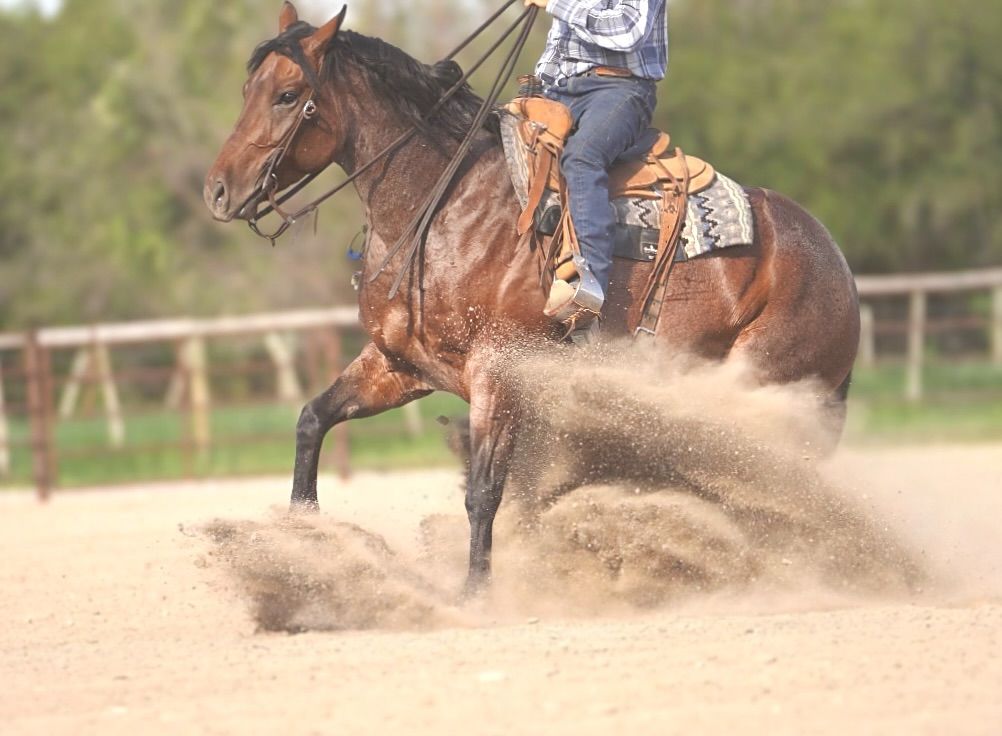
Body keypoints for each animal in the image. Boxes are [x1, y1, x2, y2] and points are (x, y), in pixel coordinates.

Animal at [204, 3, 860, 593]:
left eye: (288, 95)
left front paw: (475, 593)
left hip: (765, 390)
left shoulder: (501, 372)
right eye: (247, 88)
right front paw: (302, 545)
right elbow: (312, 420)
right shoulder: (401, 364)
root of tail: (835, 259)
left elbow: (485, 490)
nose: (217, 191)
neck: (443, 205)